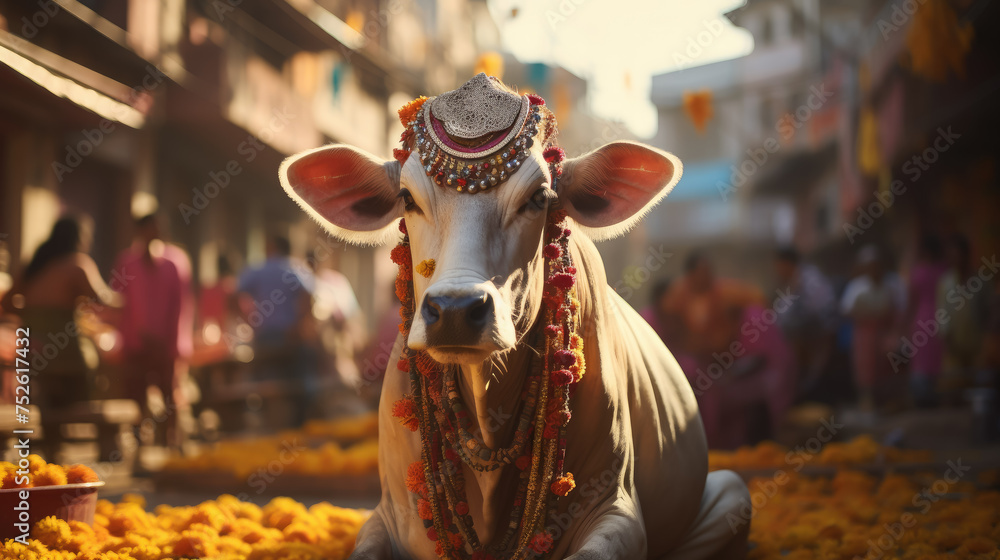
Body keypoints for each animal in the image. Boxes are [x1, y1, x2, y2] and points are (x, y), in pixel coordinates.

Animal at [279, 74, 749, 560]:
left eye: (539, 197)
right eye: (407, 198)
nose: (454, 311)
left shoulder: (615, 504)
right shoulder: (390, 514)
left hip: (732, 493)